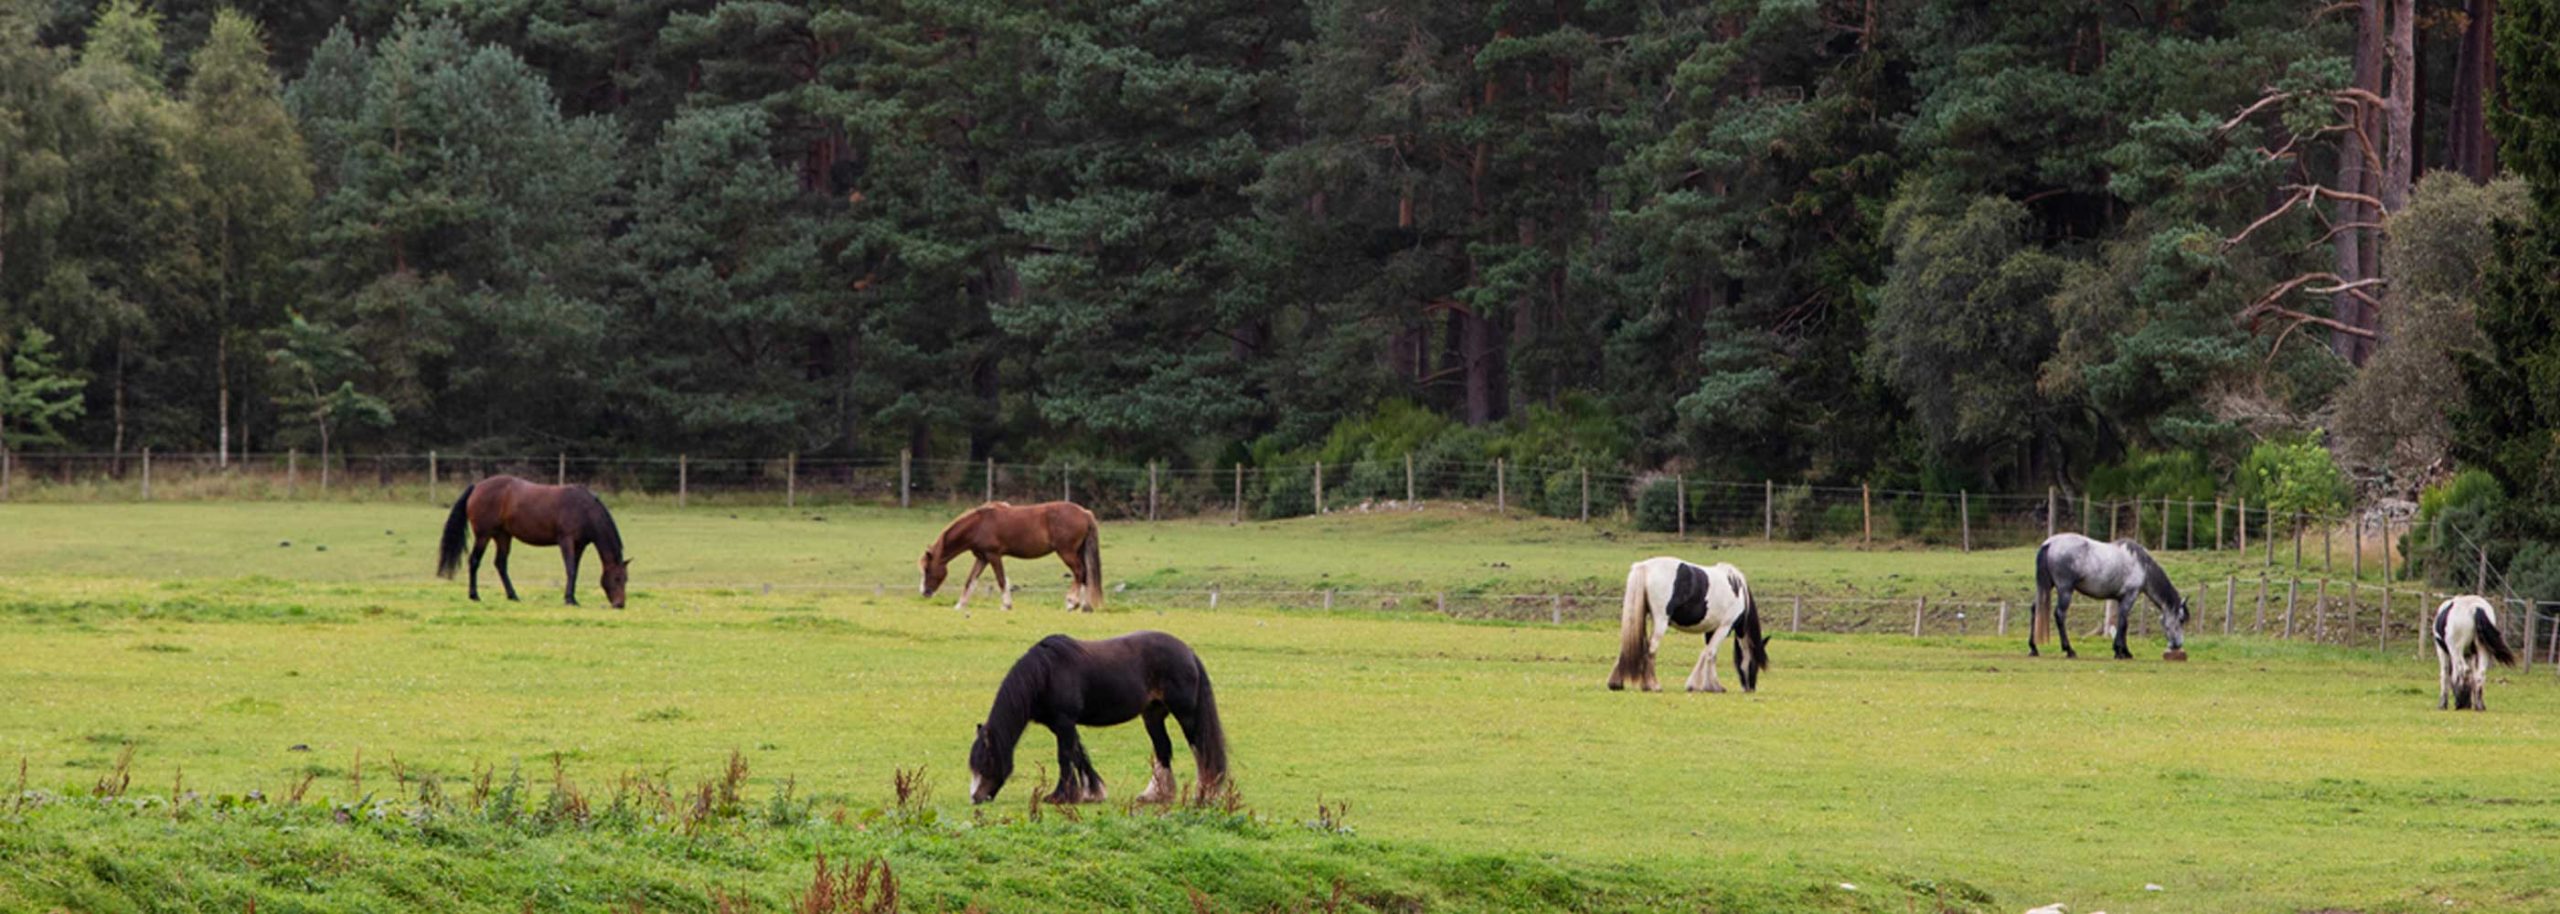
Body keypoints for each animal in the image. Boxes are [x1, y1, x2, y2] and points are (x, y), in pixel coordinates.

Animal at [435, 475, 630, 609]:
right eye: (617, 578)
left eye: (626, 579)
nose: (620, 604)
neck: (584, 509)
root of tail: (477, 486)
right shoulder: (566, 540)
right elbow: (571, 569)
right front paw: (569, 599)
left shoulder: (580, 545)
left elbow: (575, 569)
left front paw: (572, 597)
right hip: (484, 535)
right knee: (475, 561)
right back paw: (474, 595)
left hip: (503, 536)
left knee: (500, 564)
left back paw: (513, 595)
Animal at [920, 501, 1103, 612]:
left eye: (927, 569)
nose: (924, 592)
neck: (979, 525)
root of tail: (1085, 513)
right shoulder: (982, 558)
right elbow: (970, 581)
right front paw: (960, 605)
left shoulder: (993, 556)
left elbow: (1001, 580)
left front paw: (1006, 605)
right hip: (1078, 552)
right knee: (1085, 576)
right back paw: (1086, 607)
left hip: (1067, 552)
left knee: (1079, 572)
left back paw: (1072, 603)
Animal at [966, 631, 1228, 805]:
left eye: (986, 763)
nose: (975, 798)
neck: (1045, 674)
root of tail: (1188, 652)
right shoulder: (1061, 725)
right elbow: (1078, 754)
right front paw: (1092, 792)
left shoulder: (1064, 722)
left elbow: (1064, 757)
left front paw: (1060, 796)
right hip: (1153, 715)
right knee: (1163, 749)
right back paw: (1156, 795)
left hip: (1187, 715)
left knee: (1201, 750)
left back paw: (1204, 794)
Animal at [1608, 556, 1770, 693]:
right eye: (1755, 664)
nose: (1750, 688)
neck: (1738, 590)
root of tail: (1644, 566)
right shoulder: (1724, 627)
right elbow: (1710, 653)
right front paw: (1711, 686)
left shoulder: (1711, 629)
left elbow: (1708, 653)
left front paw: (1703, 685)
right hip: (1661, 622)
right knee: (1651, 649)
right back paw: (1652, 685)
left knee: (1627, 646)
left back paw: (1616, 683)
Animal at [2030, 533, 2187, 659]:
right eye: (2180, 620)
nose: (2178, 645)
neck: (2142, 565)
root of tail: (2050, 543)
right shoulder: (2130, 596)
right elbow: (2123, 623)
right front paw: (2121, 652)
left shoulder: (2120, 599)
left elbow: (2122, 623)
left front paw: (2121, 650)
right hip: (2065, 590)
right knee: (2060, 614)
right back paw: (2069, 650)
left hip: (2045, 587)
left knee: (2035, 610)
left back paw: (2033, 648)